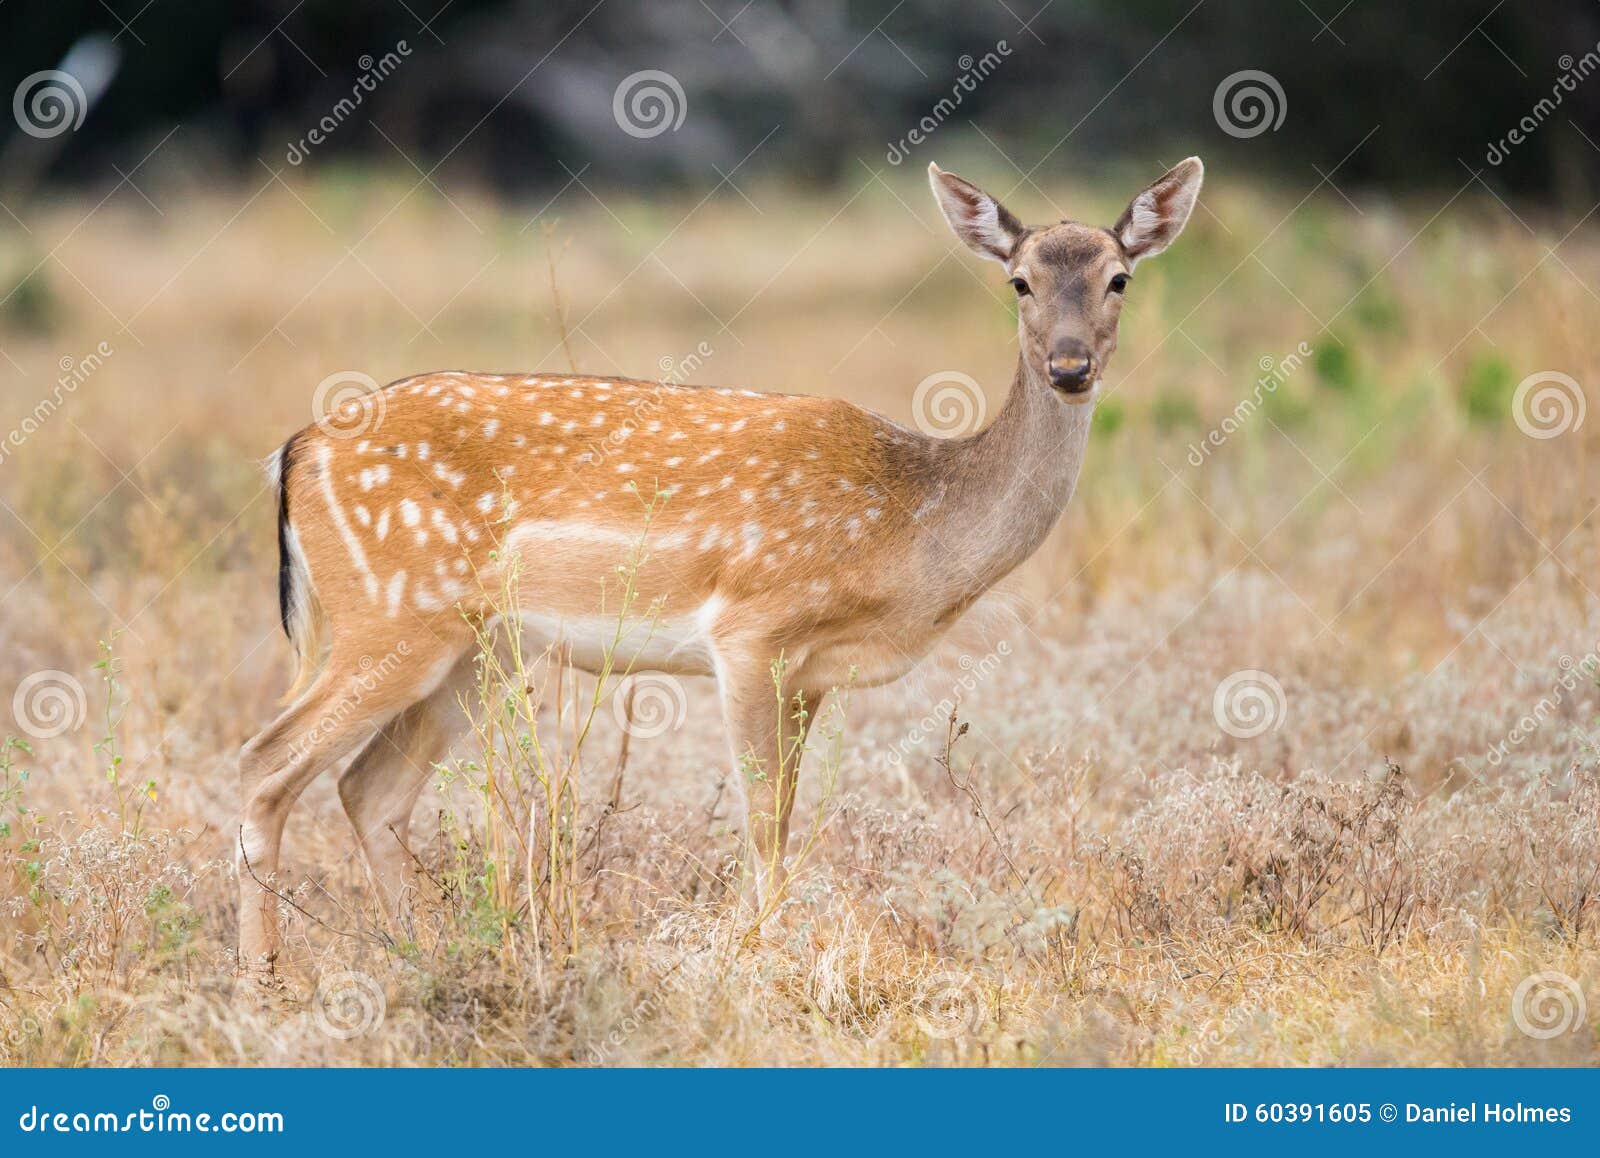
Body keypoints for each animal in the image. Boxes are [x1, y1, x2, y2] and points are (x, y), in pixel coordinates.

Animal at [236, 157, 1203, 976]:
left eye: (1119, 278)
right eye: (1019, 281)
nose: (1070, 366)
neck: (909, 528)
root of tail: (296, 449)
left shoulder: (812, 674)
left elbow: (785, 818)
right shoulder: (751, 630)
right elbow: (763, 824)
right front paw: (758, 961)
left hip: (474, 649)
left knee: (368, 789)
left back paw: (425, 957)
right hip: (390, 612)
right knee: (266, 759)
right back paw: (262, 978)